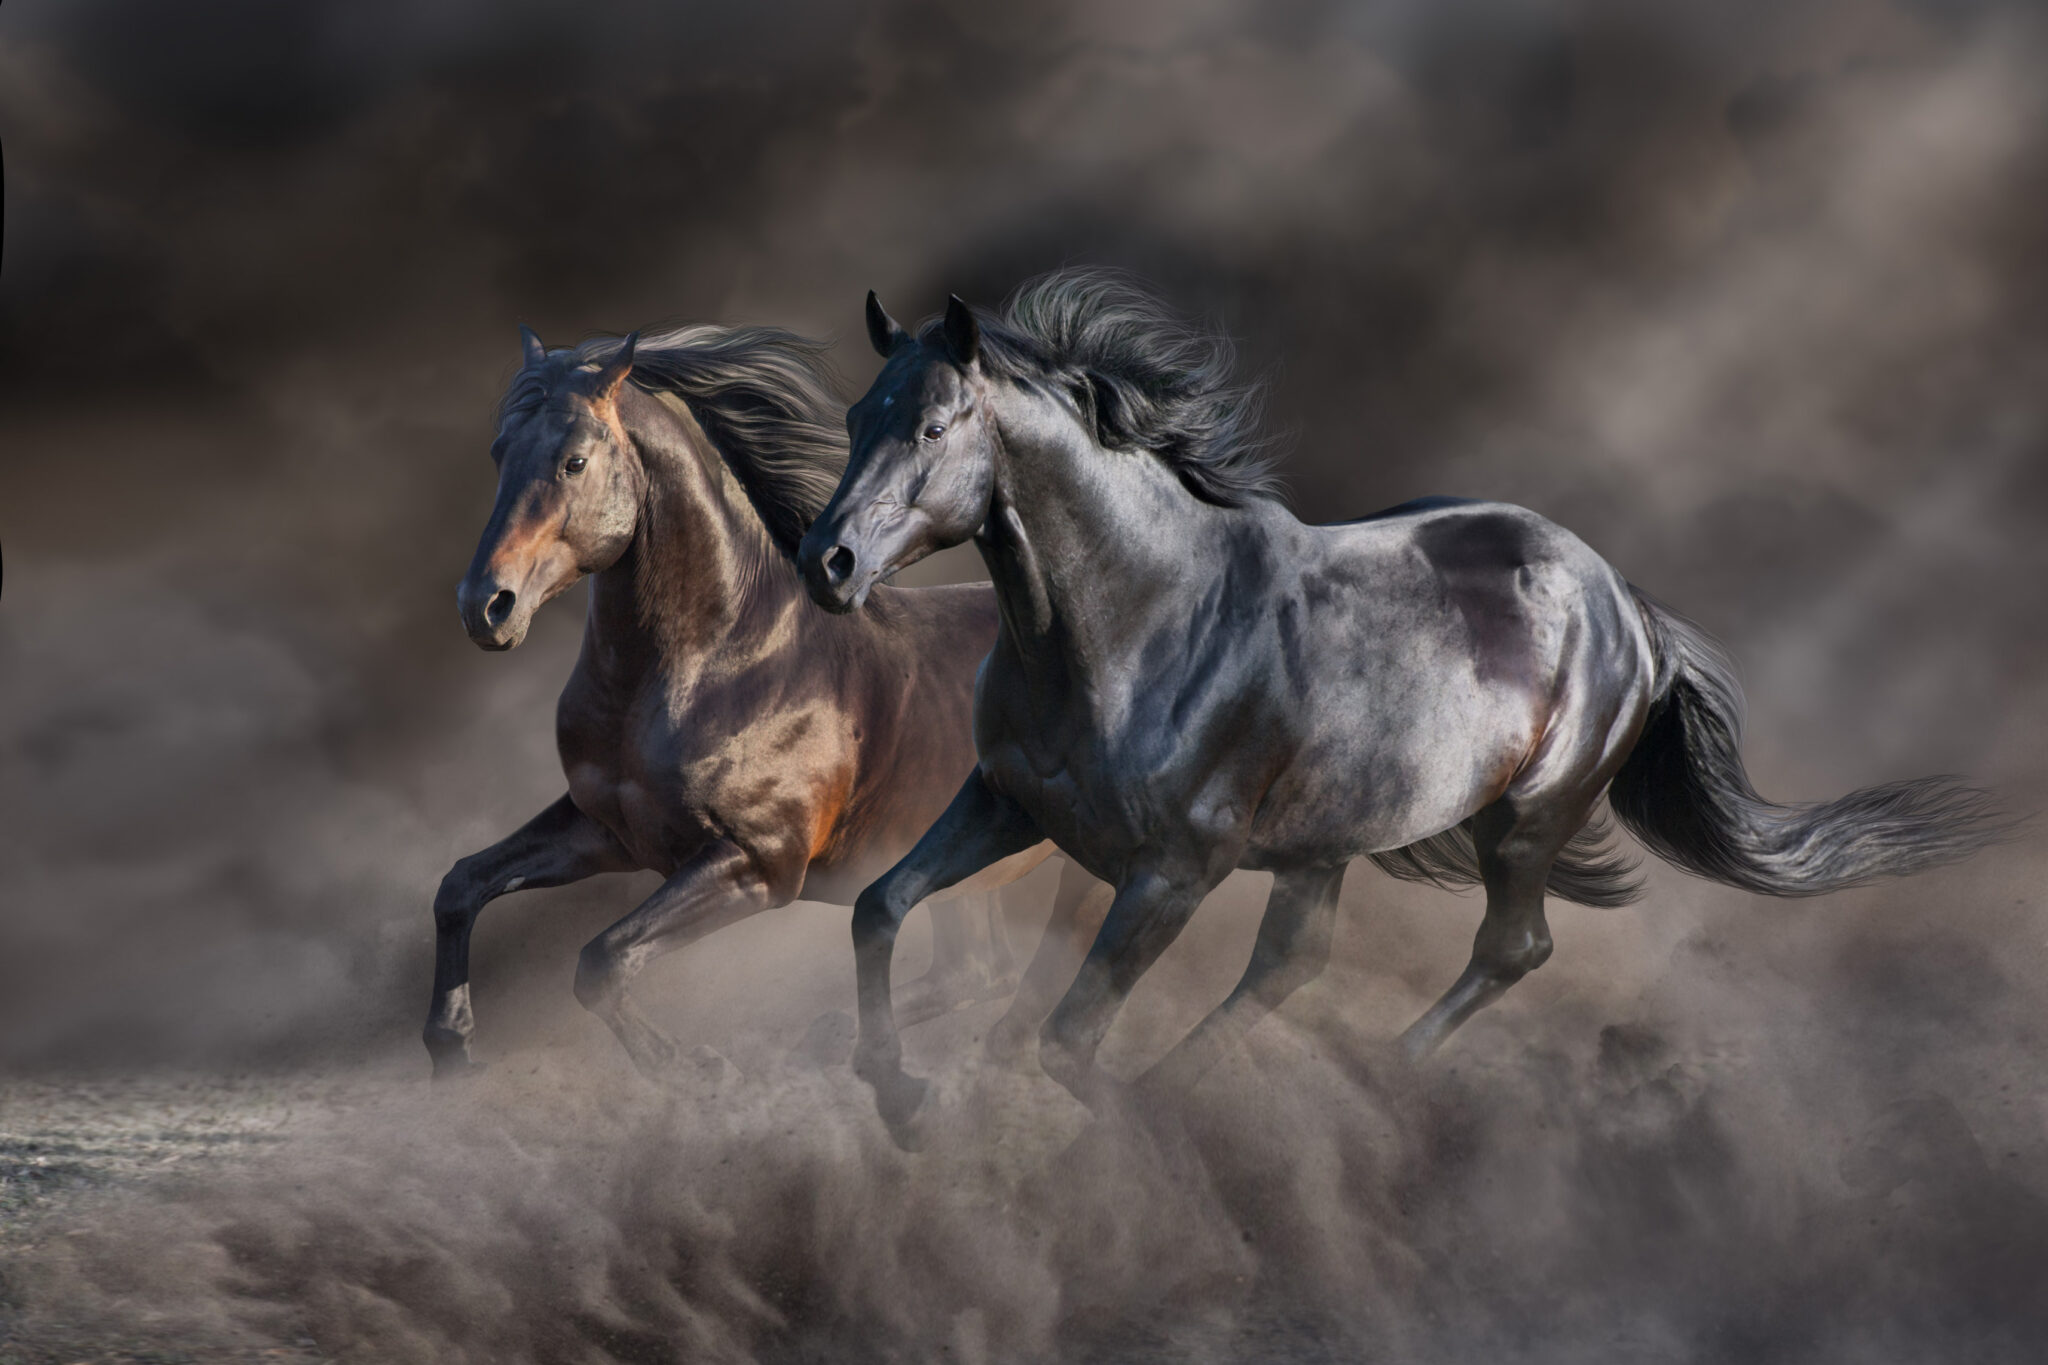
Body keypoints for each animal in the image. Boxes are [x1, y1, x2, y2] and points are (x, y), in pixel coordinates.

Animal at [425, 320, 1106, 1081]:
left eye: (573, 461)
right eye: (499, 452)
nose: (485, 605)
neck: (719, 664)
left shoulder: (759, 863)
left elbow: (603, 959)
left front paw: (692, 1066)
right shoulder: (606, 829)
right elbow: (461, 885)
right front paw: (449, 1045)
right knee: (977, 970)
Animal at [795, 267, 2005, 1131]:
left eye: (934, 426)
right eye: (856, 416)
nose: (828, 562)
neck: (1138, 623)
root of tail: (1626, 605)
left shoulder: (1171, 872)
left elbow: (1066, 1038)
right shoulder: (1008, 802)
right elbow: (880, 910)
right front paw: (899, 1095)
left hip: (1525, 822)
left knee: (1511, 951)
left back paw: (1367, 1079)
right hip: (1331, 840)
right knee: (1294, 963)